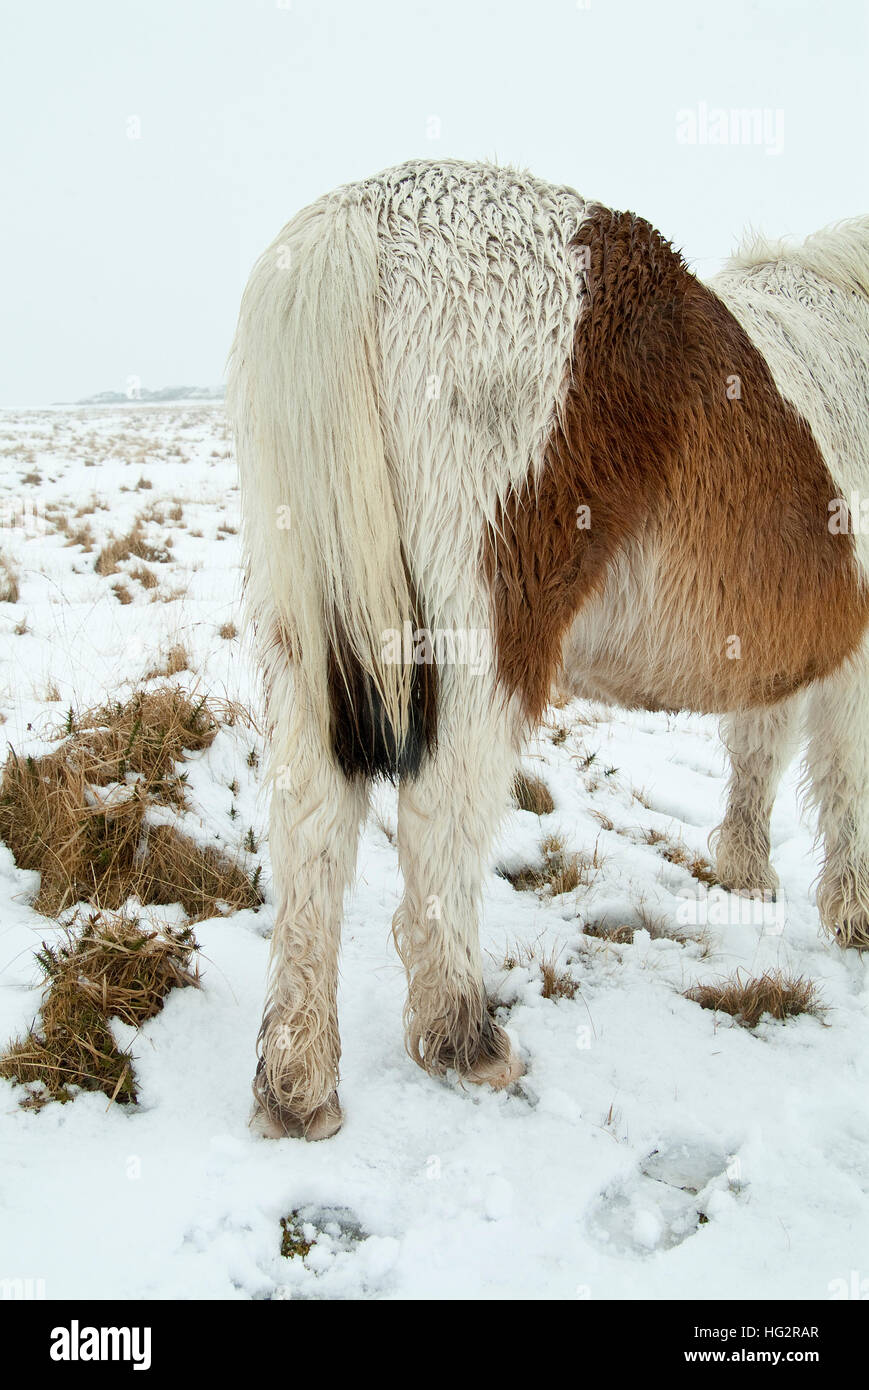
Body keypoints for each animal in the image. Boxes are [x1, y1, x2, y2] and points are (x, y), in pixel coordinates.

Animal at [227, 159, 869, 1140]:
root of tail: (360, 218)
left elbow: (760, 746)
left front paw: (745, 874)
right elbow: (847, 782)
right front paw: (853, 914)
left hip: (307, 647)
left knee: (311, 831)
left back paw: (297, 1085)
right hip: (477, 650)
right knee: (439, 822)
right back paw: (462, 1037)